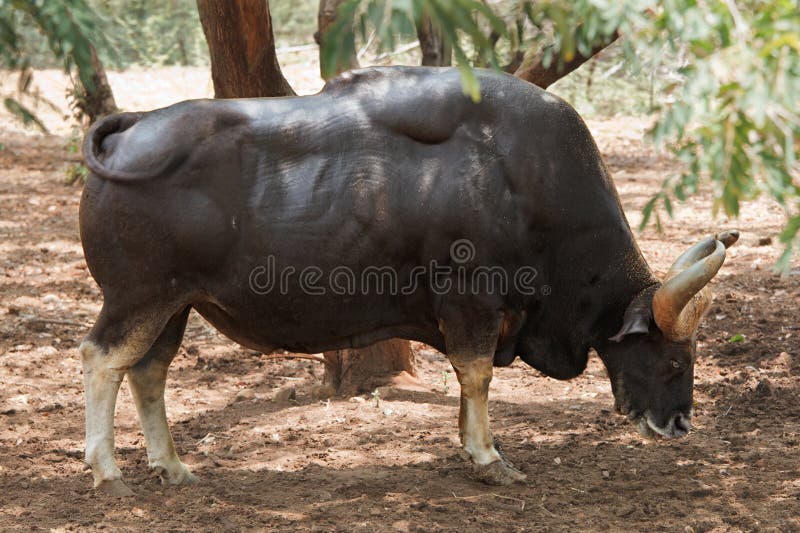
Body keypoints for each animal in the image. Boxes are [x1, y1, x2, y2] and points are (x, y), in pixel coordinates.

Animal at [79, 66, 738, 496]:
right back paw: (108, 472)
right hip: (137, 299)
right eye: (674, 360)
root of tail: (131, 130)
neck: (520, 177)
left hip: (174, 305)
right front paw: (488, 457)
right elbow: (476, 376)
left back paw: (172, 467)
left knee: (149, 372)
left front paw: (469, 446)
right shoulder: (473, 302)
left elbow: (469, 382)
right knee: (100, 360)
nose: (679, 423)